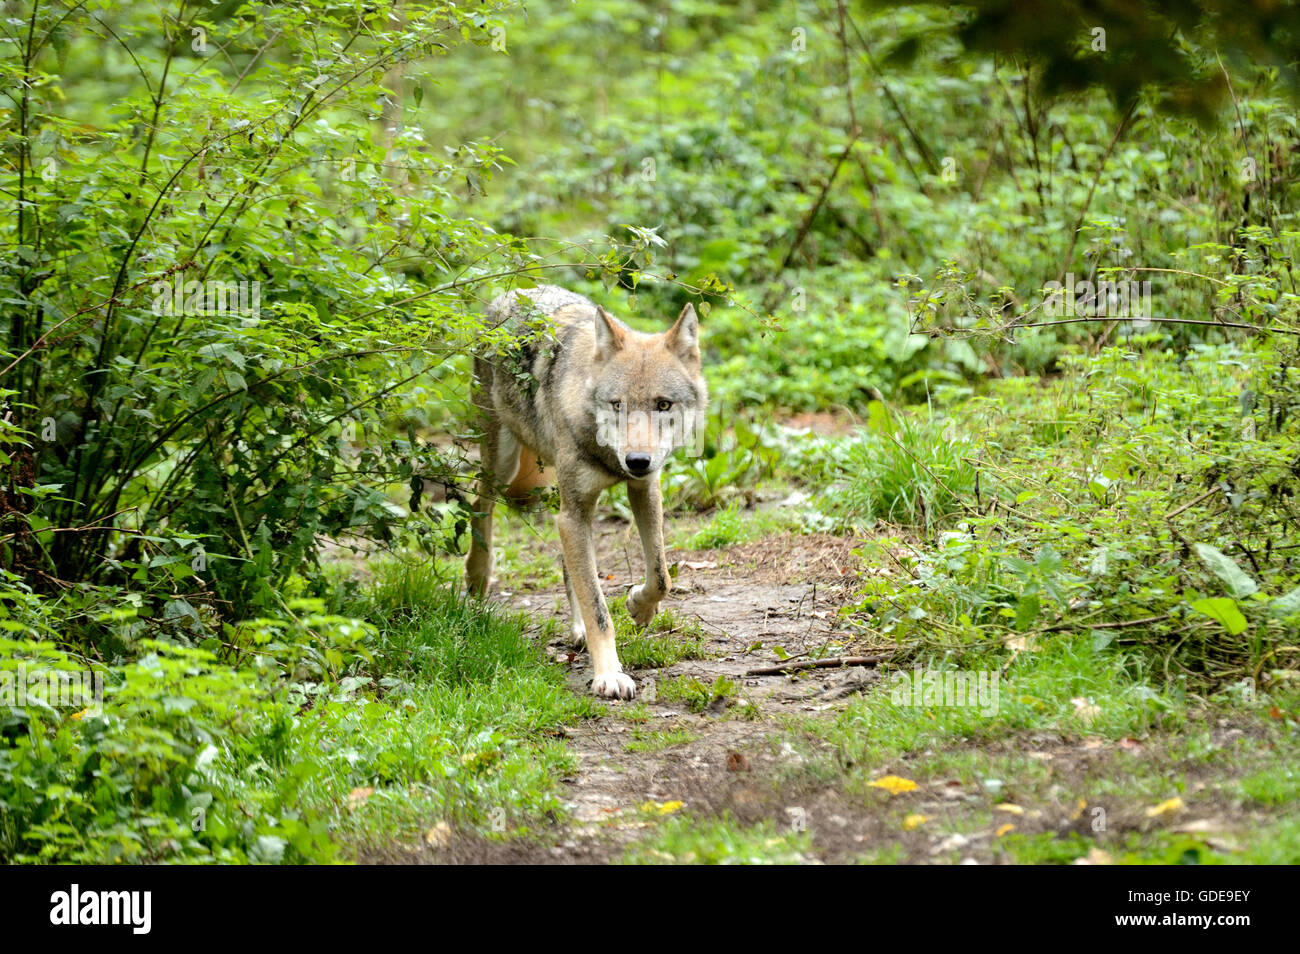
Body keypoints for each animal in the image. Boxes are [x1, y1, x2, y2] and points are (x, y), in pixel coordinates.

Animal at [466, 285, 707, 699]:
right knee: (480, 507)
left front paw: (640, 606)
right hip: (504, 467)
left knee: (571, 568)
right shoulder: (574, 512)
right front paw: (609, 674)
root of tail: (510, 294)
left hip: (567, 505)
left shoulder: (643, 488)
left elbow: (660, 575)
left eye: (663, 405)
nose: (637, 460)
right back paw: (477, 581)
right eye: (617, 405)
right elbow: (599, 609)